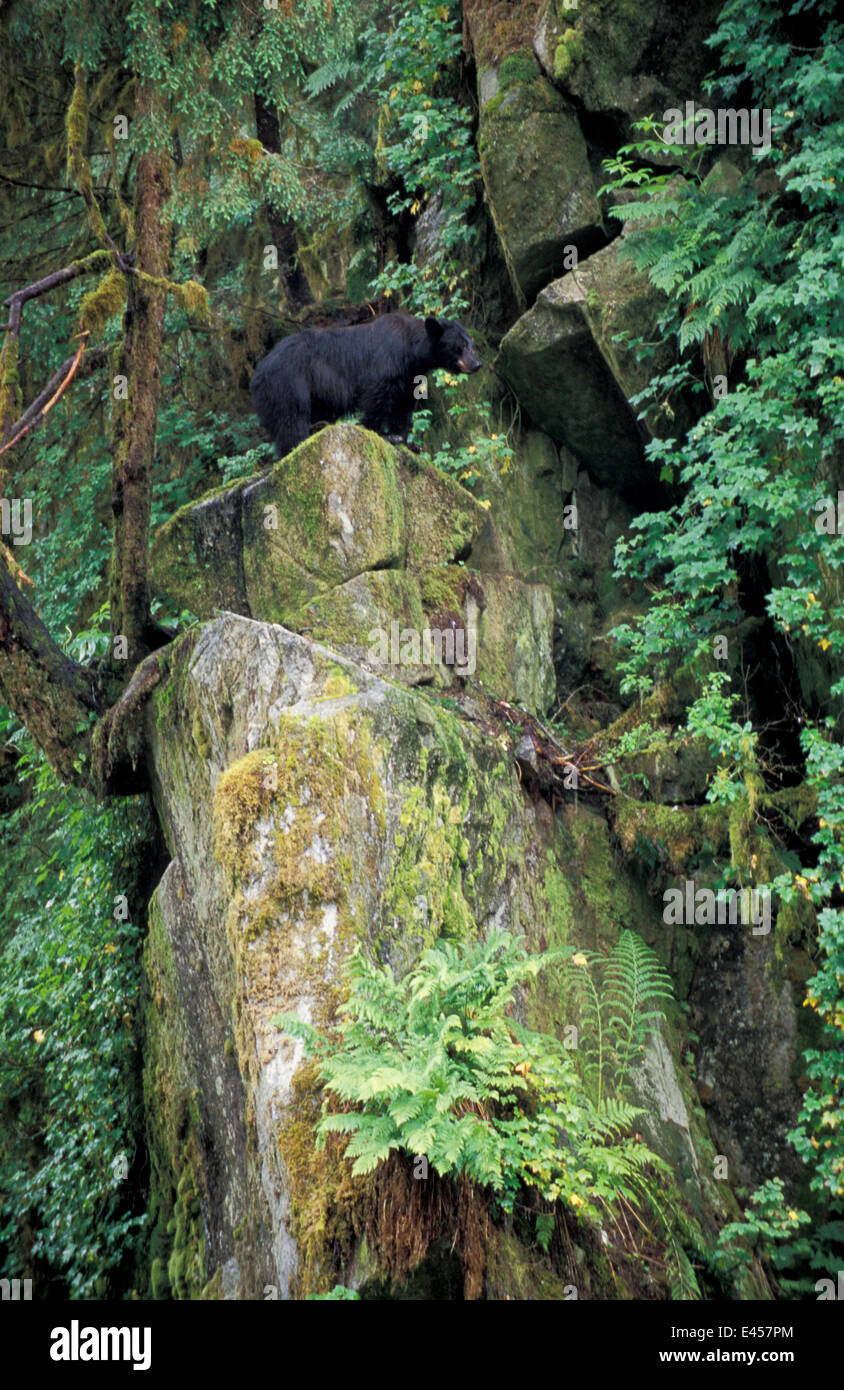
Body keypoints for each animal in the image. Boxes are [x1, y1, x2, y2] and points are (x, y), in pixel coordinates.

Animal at [250, 311, 482, 459]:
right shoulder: (385, 365)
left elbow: (403, 407)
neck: (411, 353)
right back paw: (295, 447)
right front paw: (383, 434)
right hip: (289, 385)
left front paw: (407, 441)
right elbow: (376, 399)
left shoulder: (409, 378)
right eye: (460, 346)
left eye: (471, 344)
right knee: (291, 420)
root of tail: (258, 372)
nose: (477, 364)